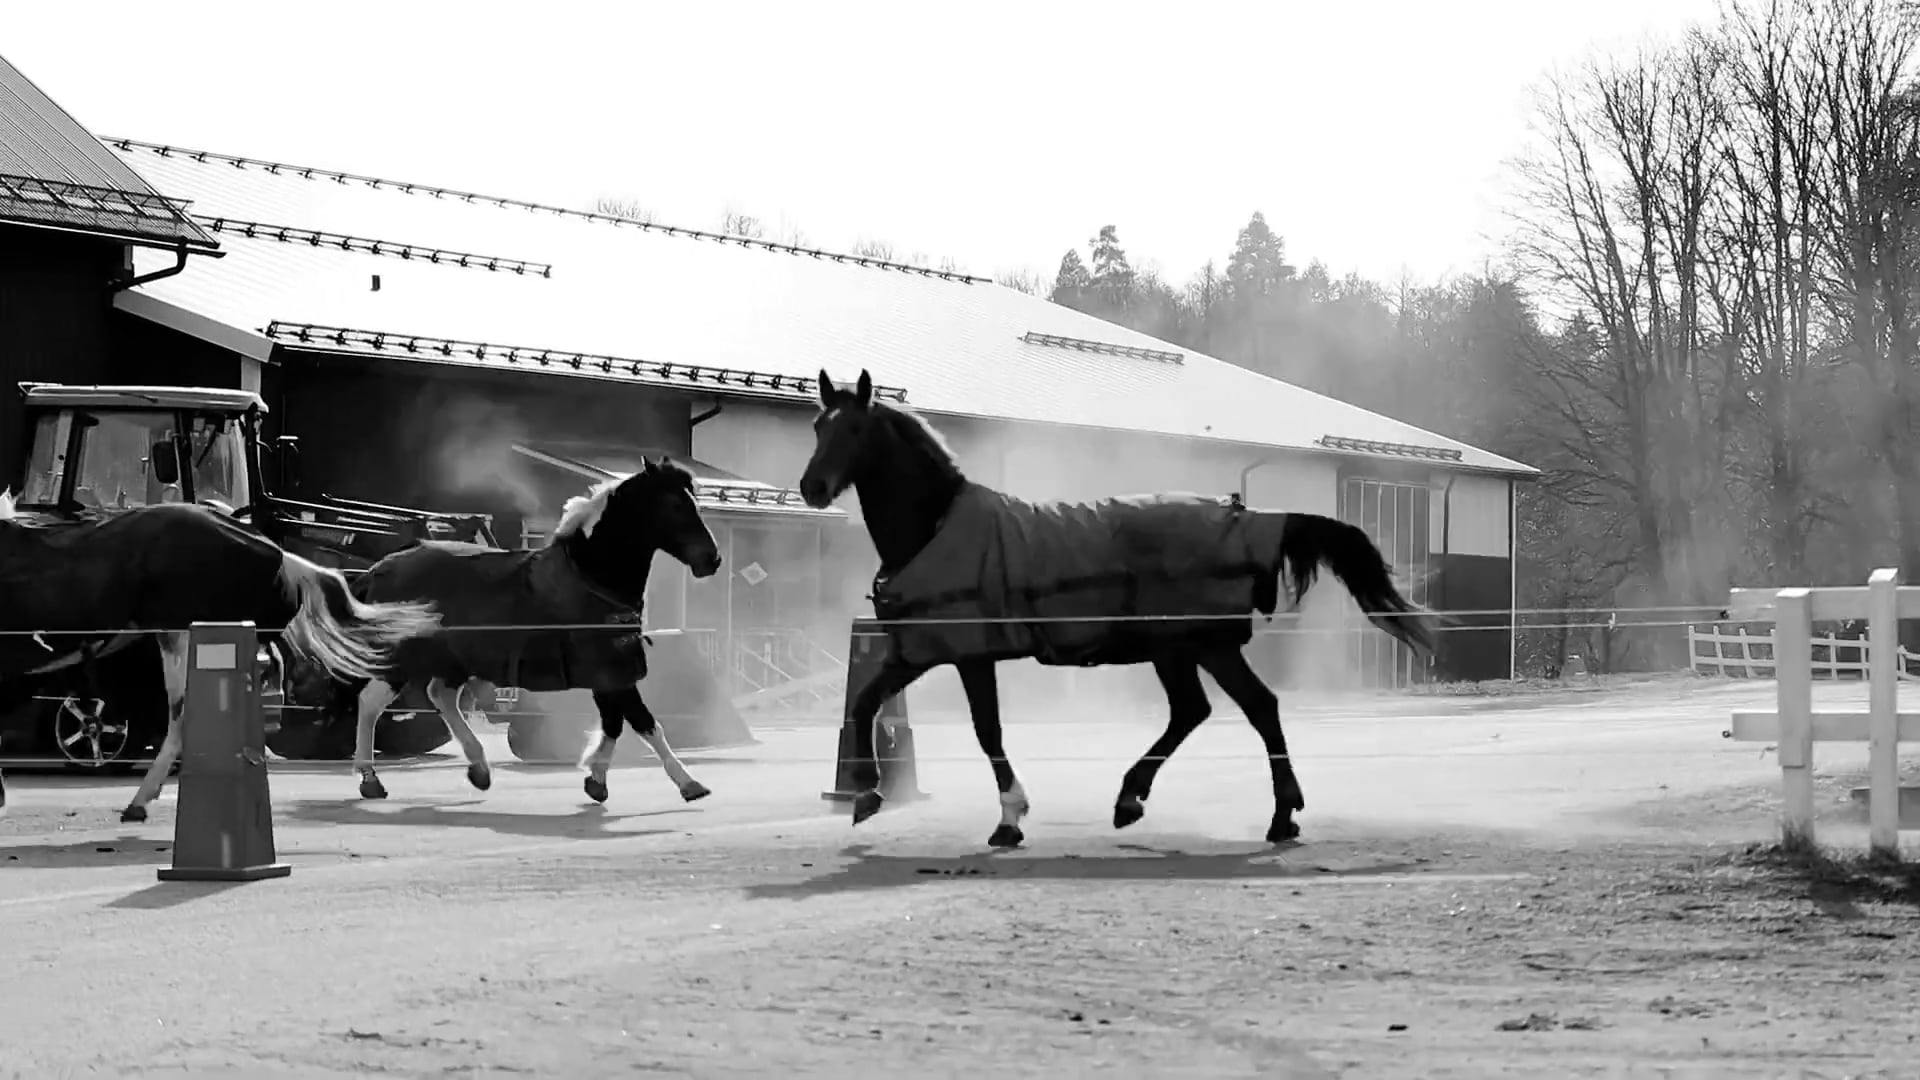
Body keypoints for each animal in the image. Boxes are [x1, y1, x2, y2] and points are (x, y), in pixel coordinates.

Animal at [335, 458, 725, 805]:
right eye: (675, 504)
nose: (712, 559)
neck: (590, 576)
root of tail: (380, 568)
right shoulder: (611, 670)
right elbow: (644, 722)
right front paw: (689, 783)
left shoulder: (609, 673)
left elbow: (615, 722)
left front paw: (596, 779)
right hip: (402, 658)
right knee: (371, 703)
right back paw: (370, 778)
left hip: (452, 661)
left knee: (440, 696)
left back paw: (479, 769)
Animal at [797, 369, 1443, 849]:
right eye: (817, 425)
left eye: (854, 429)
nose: (812, 488)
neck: (935, 526)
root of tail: (1249, 516)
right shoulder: (917, 651)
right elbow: (864, 703)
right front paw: (866, 792)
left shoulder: (967, 654)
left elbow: (986, 730)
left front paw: (1009, 817)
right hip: (1180, 648)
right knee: (1204, 710)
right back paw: (1146, 798)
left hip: (1200, 644)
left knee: (1252, 708)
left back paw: (1273, 814)